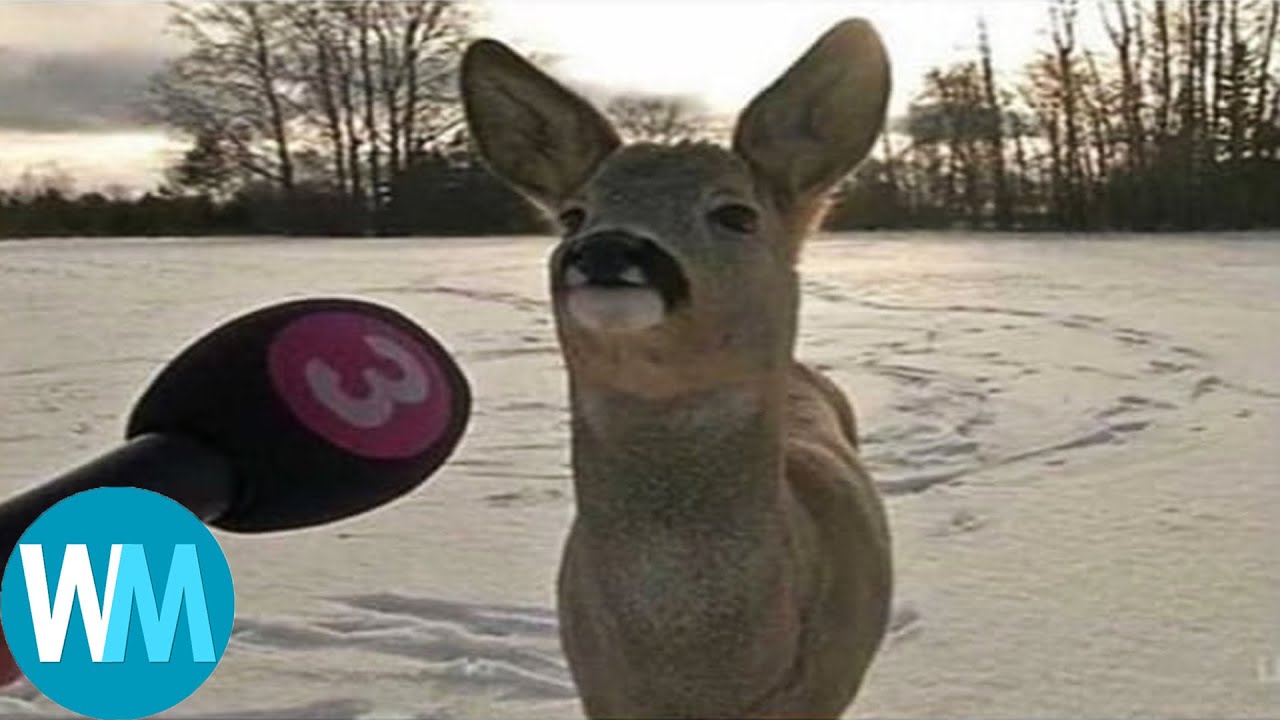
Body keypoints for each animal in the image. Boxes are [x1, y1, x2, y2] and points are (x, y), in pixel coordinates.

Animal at [459, 18, 893, 719]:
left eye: (736, 213)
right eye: (574, 214)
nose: (606, 248)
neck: (701, 681)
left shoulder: (829, 688)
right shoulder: (598, 690)